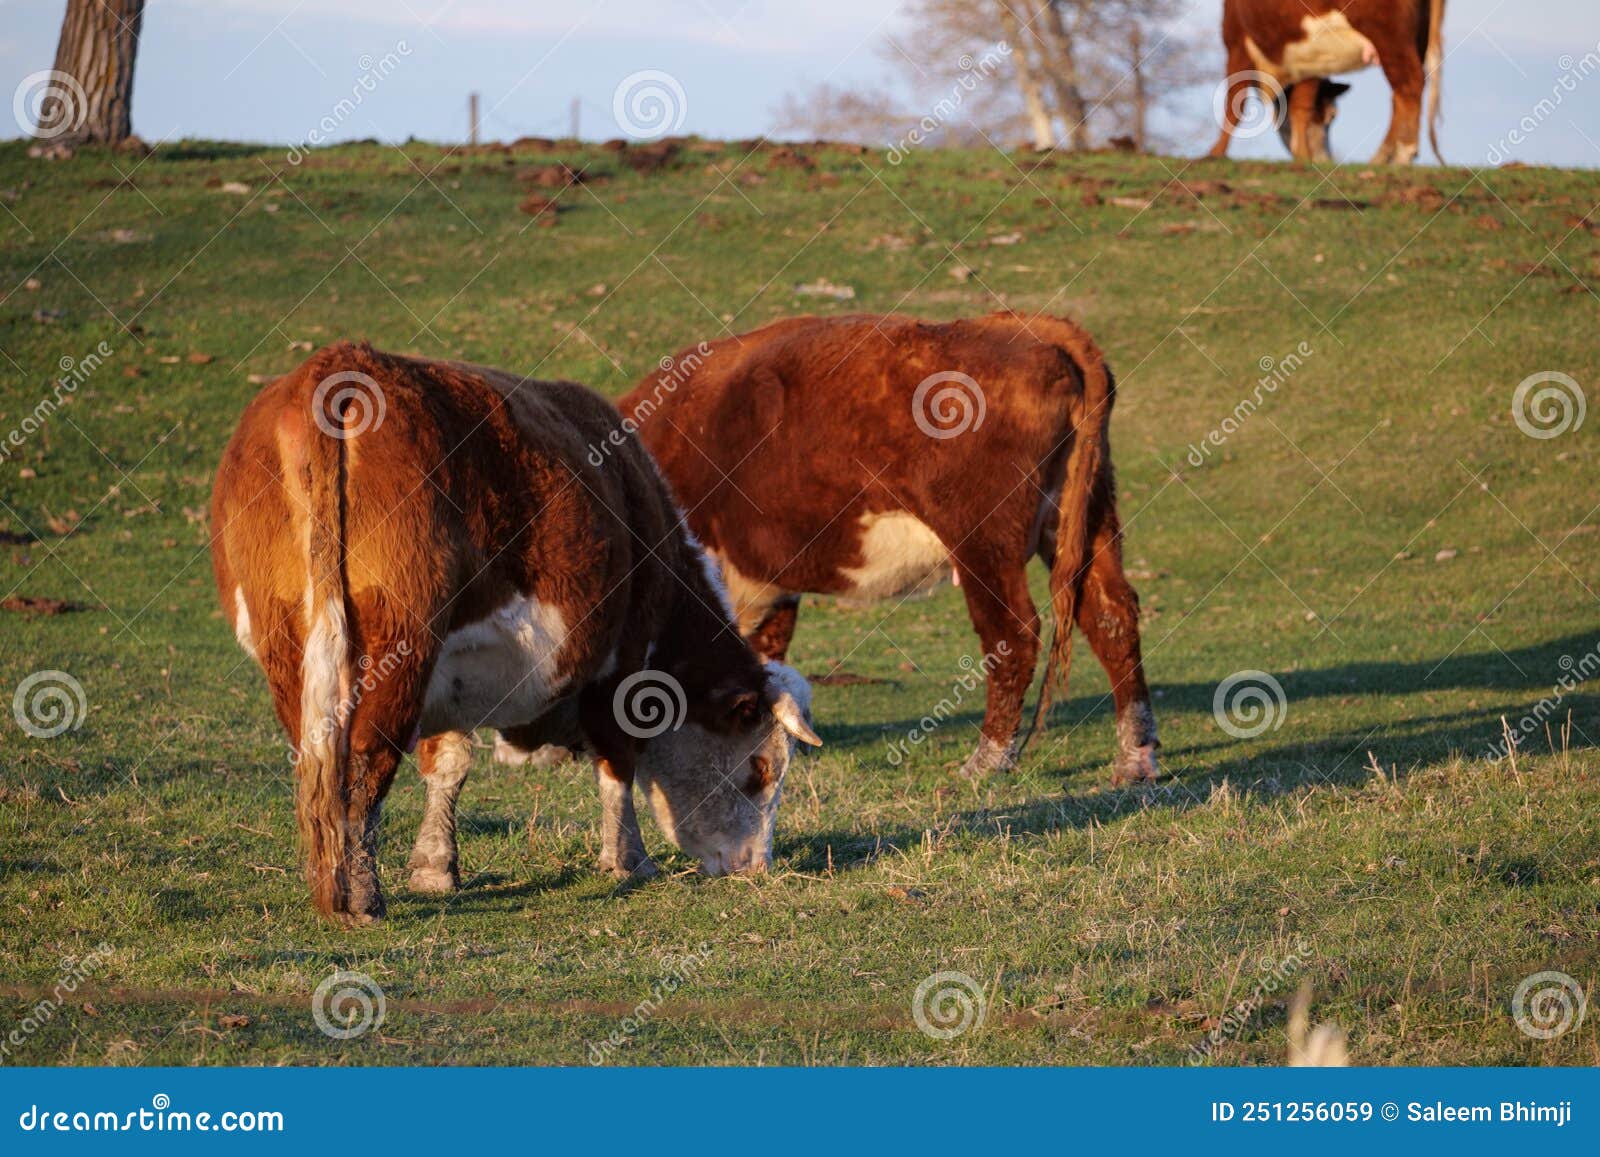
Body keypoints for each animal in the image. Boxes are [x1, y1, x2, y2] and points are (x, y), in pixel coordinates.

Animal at [211, 341, 820, 925]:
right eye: (762, 769)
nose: (755, 866)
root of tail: (336, 367)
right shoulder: (622, 663)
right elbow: (617, 760)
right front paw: (628, 860)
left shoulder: (453, 666)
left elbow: (448, 762)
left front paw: (435, 868)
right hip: (398, 647)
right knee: (364, 760)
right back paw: (360, 900)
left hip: (296, 647)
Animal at [616, 312, 1160, 786]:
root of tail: (1025, 327)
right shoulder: (767, 580)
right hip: (1086, 518)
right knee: (1110, 615)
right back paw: (1135, 757)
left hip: (983, 537)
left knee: (1013, 634)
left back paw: (986, 762)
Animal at [1208, 0, 1445, 164]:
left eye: (1332, 116)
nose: (1325, 159)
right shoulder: (1310, 62)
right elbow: (1300, 108)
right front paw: (1303, 156)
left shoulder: (1237, 41)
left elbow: (1234, 104)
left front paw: (1215, 153)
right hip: (1417, 37)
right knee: (1400, 94)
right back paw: (1383, 157)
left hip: (1389, 34)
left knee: (1410, 84)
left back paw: (1403, 153)